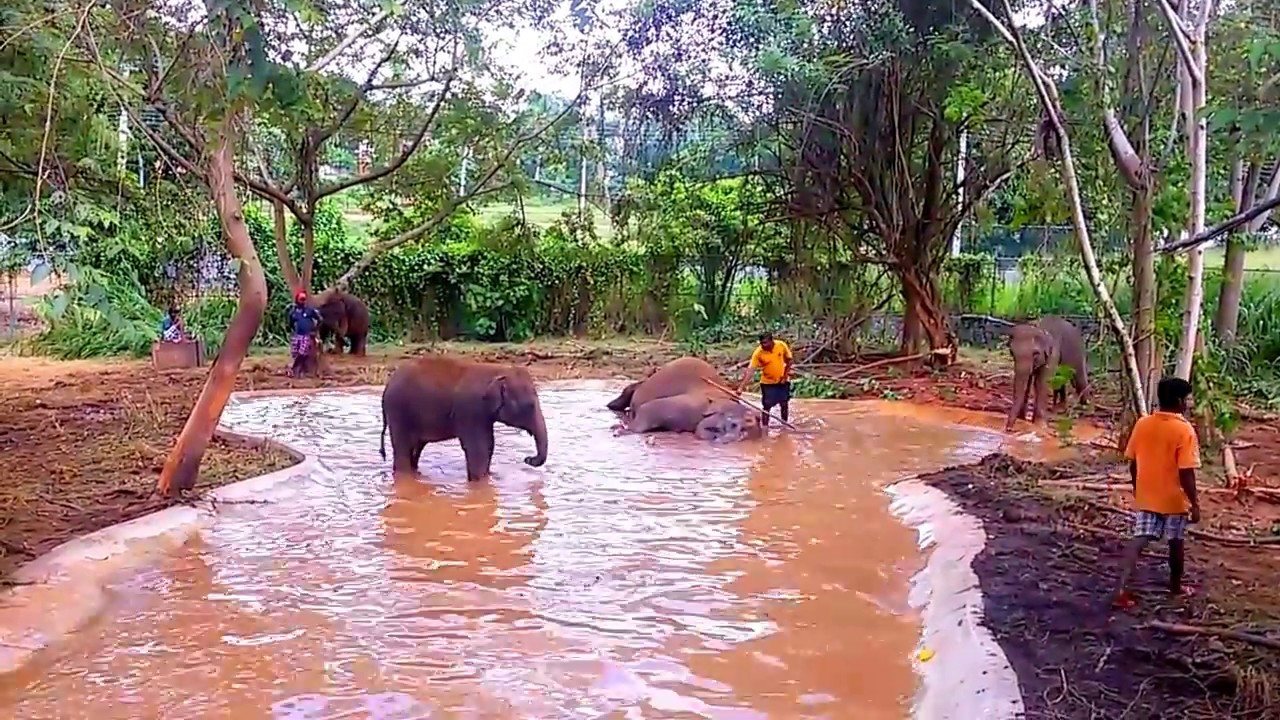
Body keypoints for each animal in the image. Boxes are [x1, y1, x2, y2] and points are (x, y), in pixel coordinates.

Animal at [379, 355, 549, 481]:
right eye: (530, 406)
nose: (527, 459)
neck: (497, 370)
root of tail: (387, 387)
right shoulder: (471, 409)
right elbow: (478, 448)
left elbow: (488, 445)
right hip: (398, 412)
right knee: (403, 448)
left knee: (415, 449)